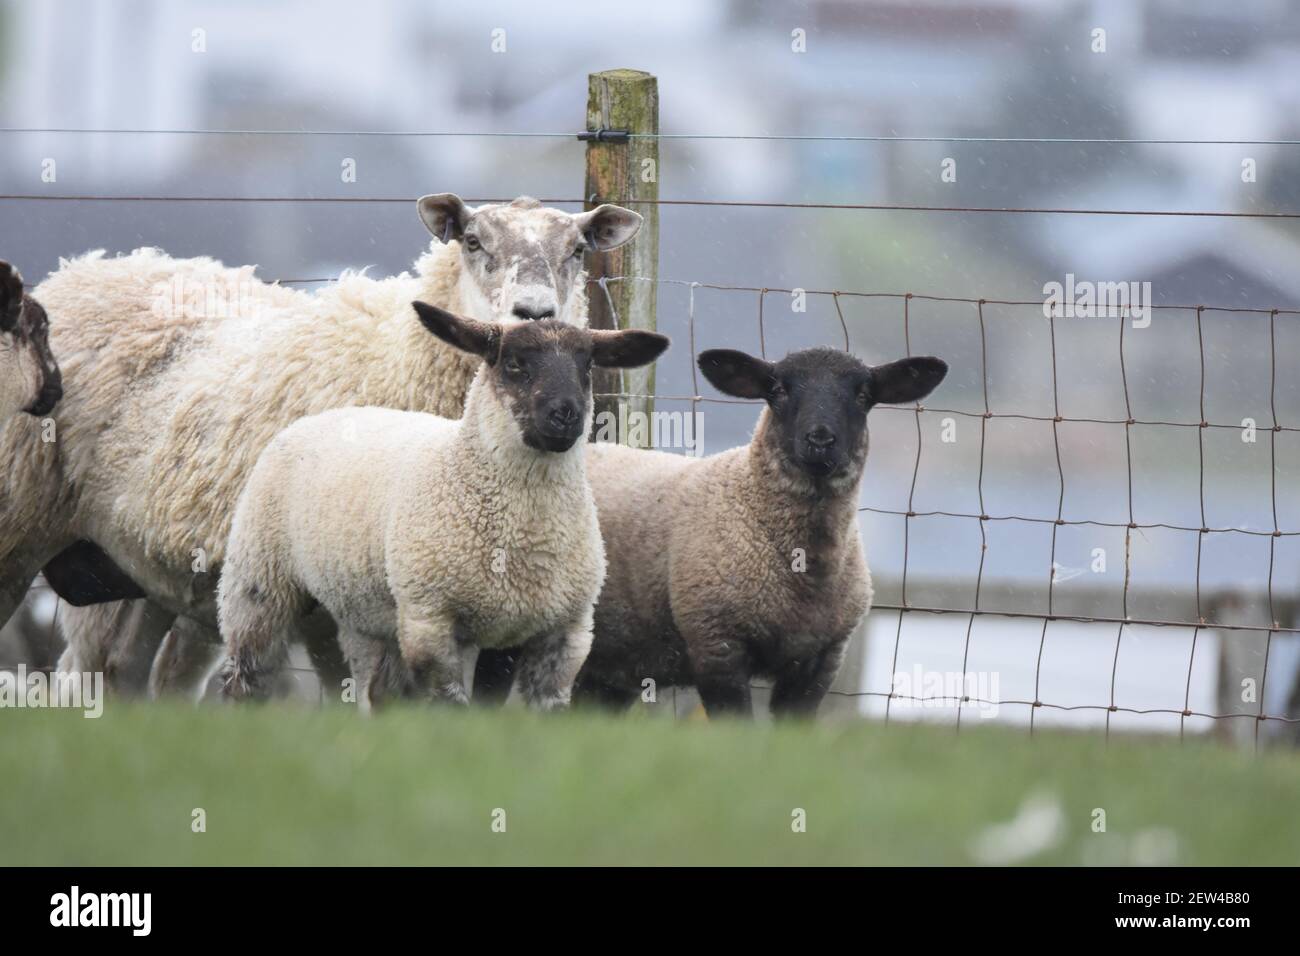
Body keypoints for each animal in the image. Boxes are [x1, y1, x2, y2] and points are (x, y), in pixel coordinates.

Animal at [217, 302, 669, 710]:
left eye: (587, 367)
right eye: (514, 364)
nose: (566, 416)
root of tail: (324, 414)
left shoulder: (564, 633)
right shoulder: (431, 621)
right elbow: (448, 705)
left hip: (357, 615)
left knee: (369, 692)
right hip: (260, 583)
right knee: (246, 676)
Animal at [472, 345, 948, 718]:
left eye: (864, 395)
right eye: (778, 390)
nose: (820, 439)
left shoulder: (820, 661)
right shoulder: (717, 644)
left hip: (614, 662)